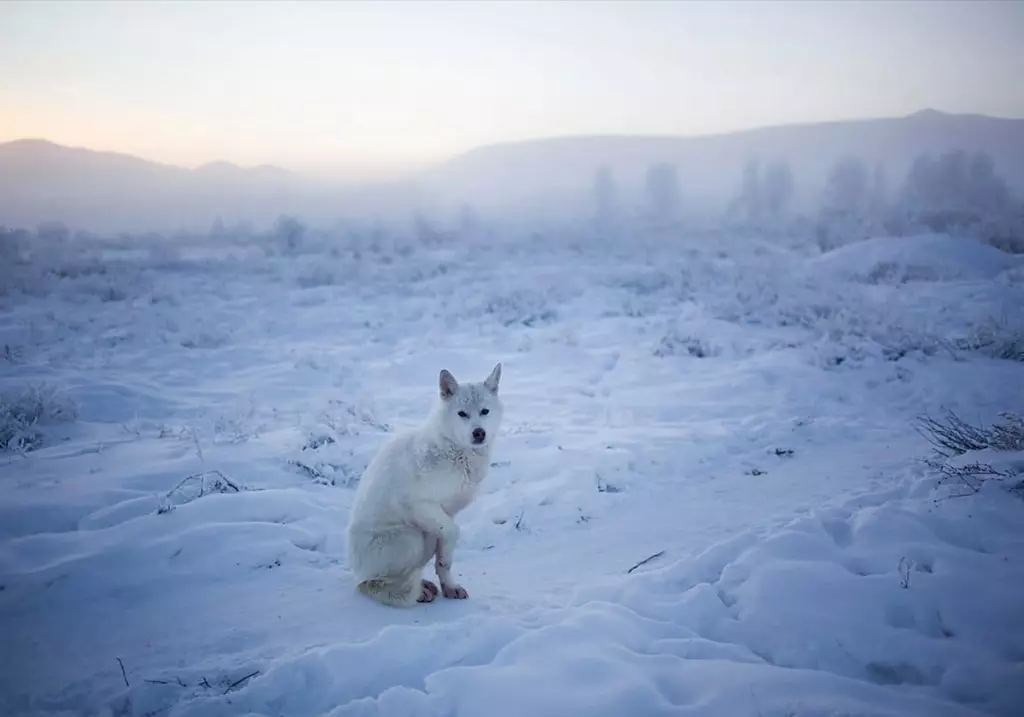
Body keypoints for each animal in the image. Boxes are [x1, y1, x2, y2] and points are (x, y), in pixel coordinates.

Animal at [346, 364, 501, 606]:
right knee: (374, 583)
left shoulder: (443, 518)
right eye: (462, 414)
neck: (453, 450)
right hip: (412, 540)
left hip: (425, 539)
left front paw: (450, 587)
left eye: (485, 411)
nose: (479, 433)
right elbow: (453, 533)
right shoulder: (419, 506)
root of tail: (357, 571)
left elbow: (444, 559)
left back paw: (424, 586)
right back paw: (415, 592)